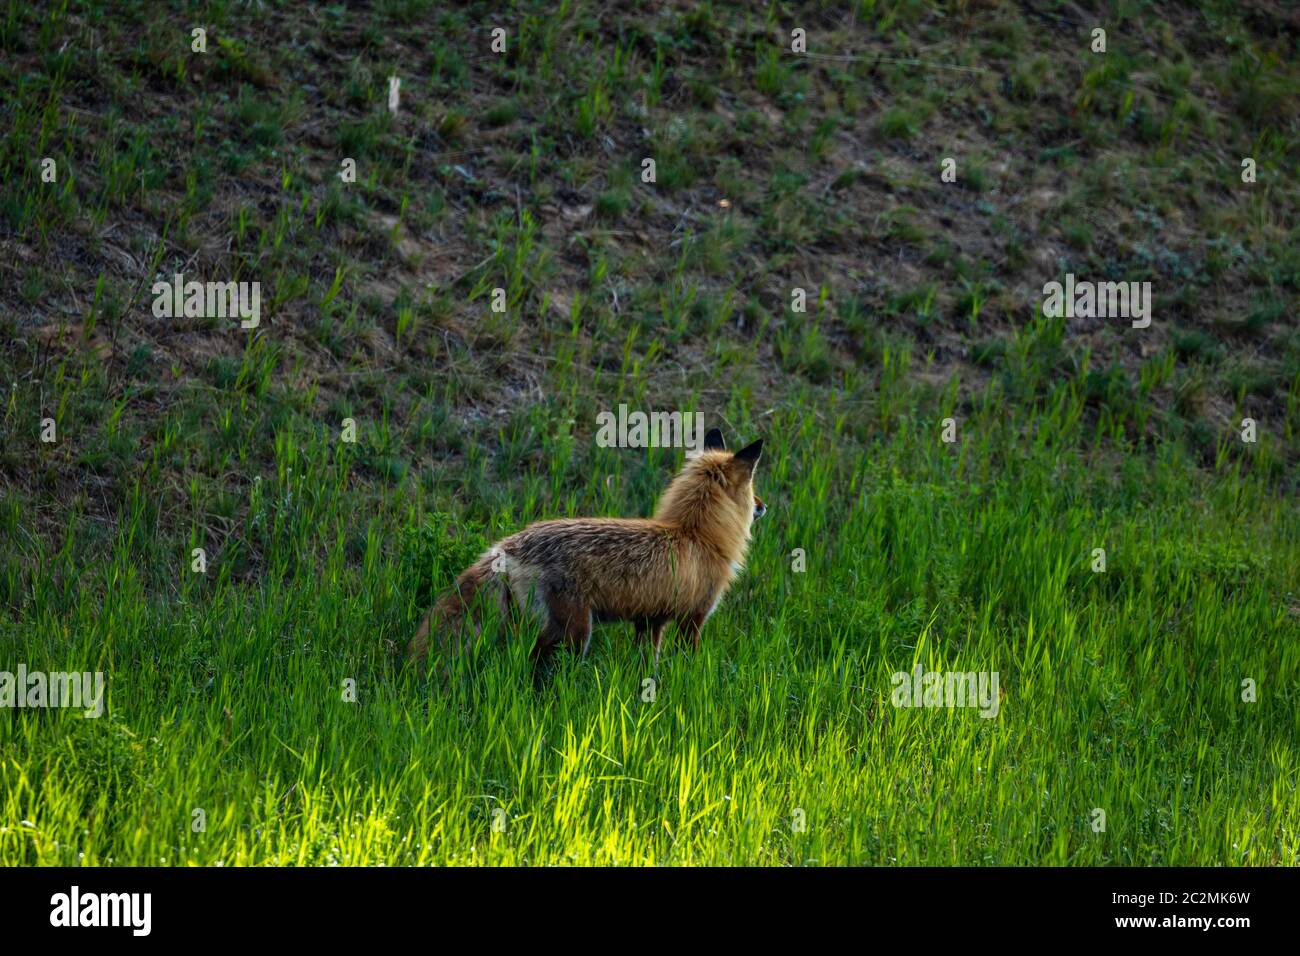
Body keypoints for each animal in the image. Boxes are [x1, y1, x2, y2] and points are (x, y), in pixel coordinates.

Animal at [408, 428, 766, 674]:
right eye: (752, 489)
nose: (763, 506)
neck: (696, 534)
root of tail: (506, 547)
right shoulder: (693, 617)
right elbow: (686, 659)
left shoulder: (649, 620)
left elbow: (646, 664)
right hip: (575, 632)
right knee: (539, 668)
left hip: (527, 623)